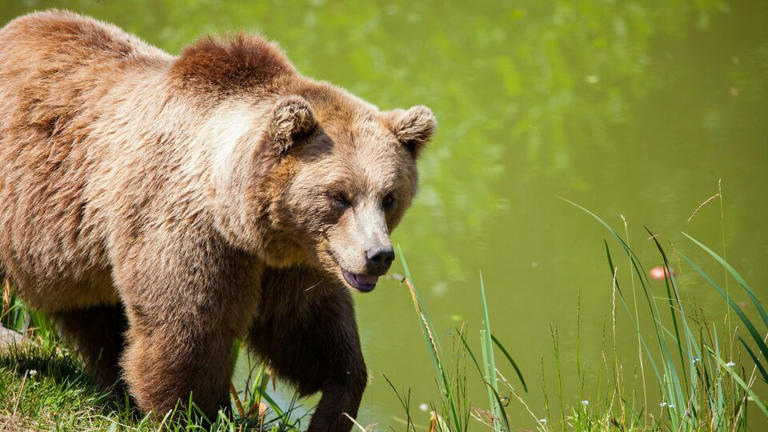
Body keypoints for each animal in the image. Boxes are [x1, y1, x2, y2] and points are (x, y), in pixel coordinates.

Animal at [0, 10, 436, 432]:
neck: (240, 218)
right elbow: (188, 332)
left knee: (94, 314)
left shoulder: (293, 260)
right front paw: (198, 413)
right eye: (339, 196)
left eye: (389, 197)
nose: (377, 255)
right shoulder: (187, 230)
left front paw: (334, 406)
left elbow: (308, 329)